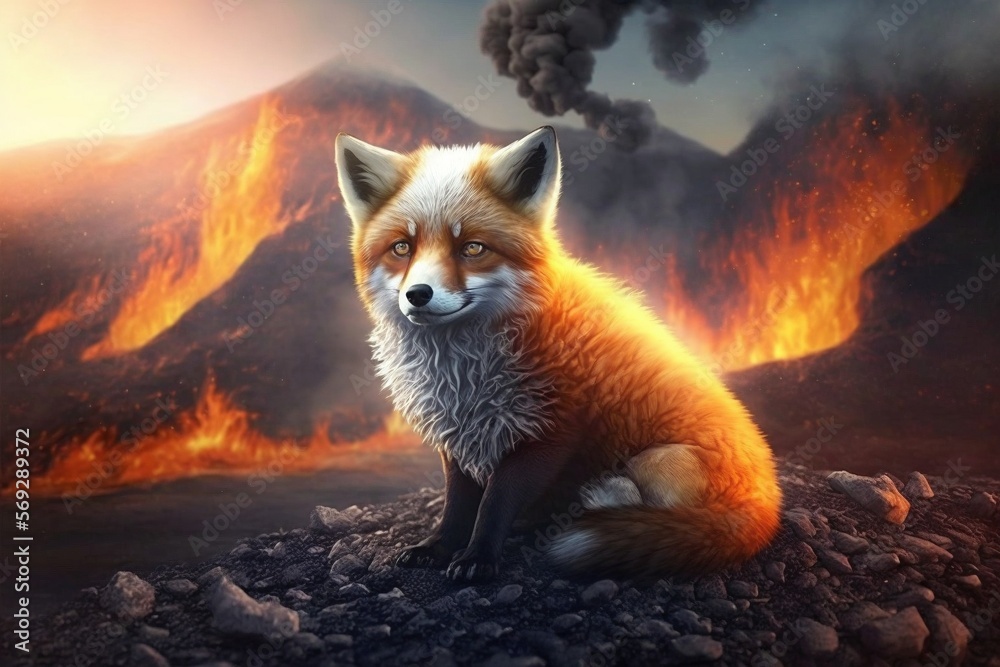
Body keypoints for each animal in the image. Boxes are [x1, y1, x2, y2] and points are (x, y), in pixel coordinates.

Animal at [334, 126, 782, 582]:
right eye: (402, 248)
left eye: (473, 248)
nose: (418, 295)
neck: (465, 371)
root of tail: (771, 493)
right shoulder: (459, 434)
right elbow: (457, 505)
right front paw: (438, 547)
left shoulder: (551, 429)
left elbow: (496, 500)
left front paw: (479, 557)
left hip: (661, 459)